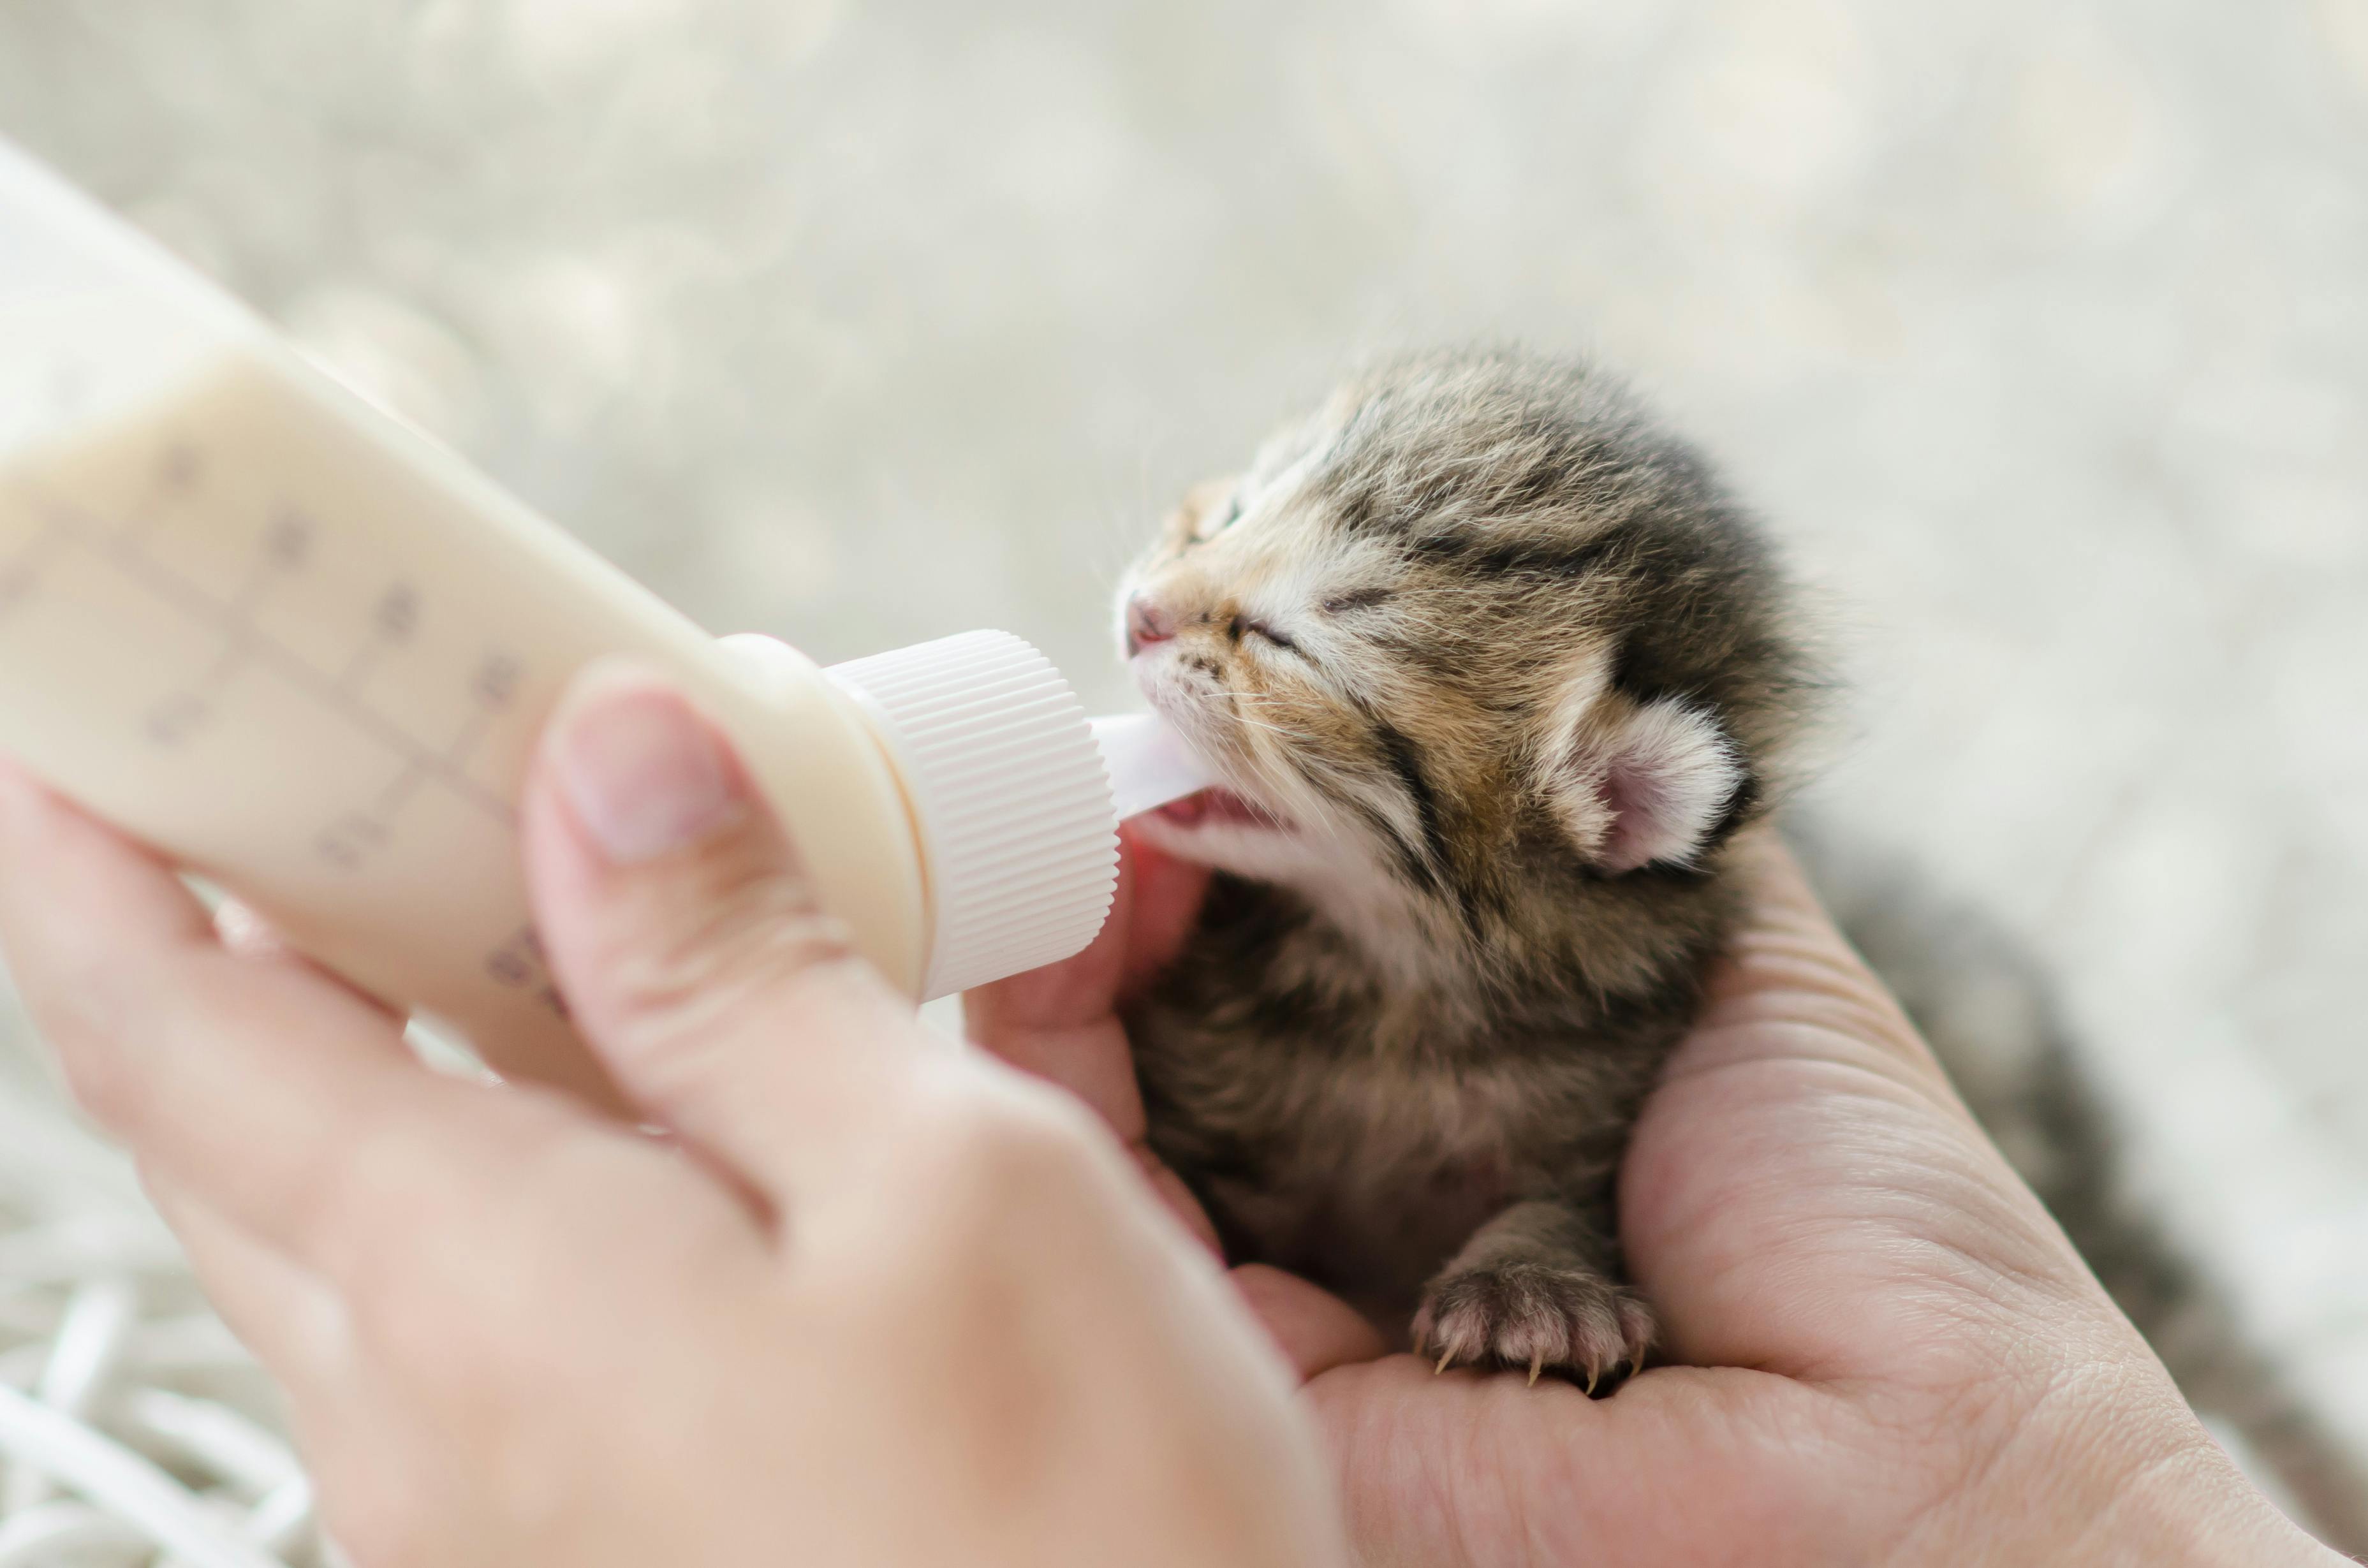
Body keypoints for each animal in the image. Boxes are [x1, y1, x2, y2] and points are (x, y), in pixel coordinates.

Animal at [1117, 348, 1818, 1393]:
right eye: (1231, 511)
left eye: (1287, 644)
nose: (1138, 613)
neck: (1396, 986)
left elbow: (1564, 1202)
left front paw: (1531, 1281)